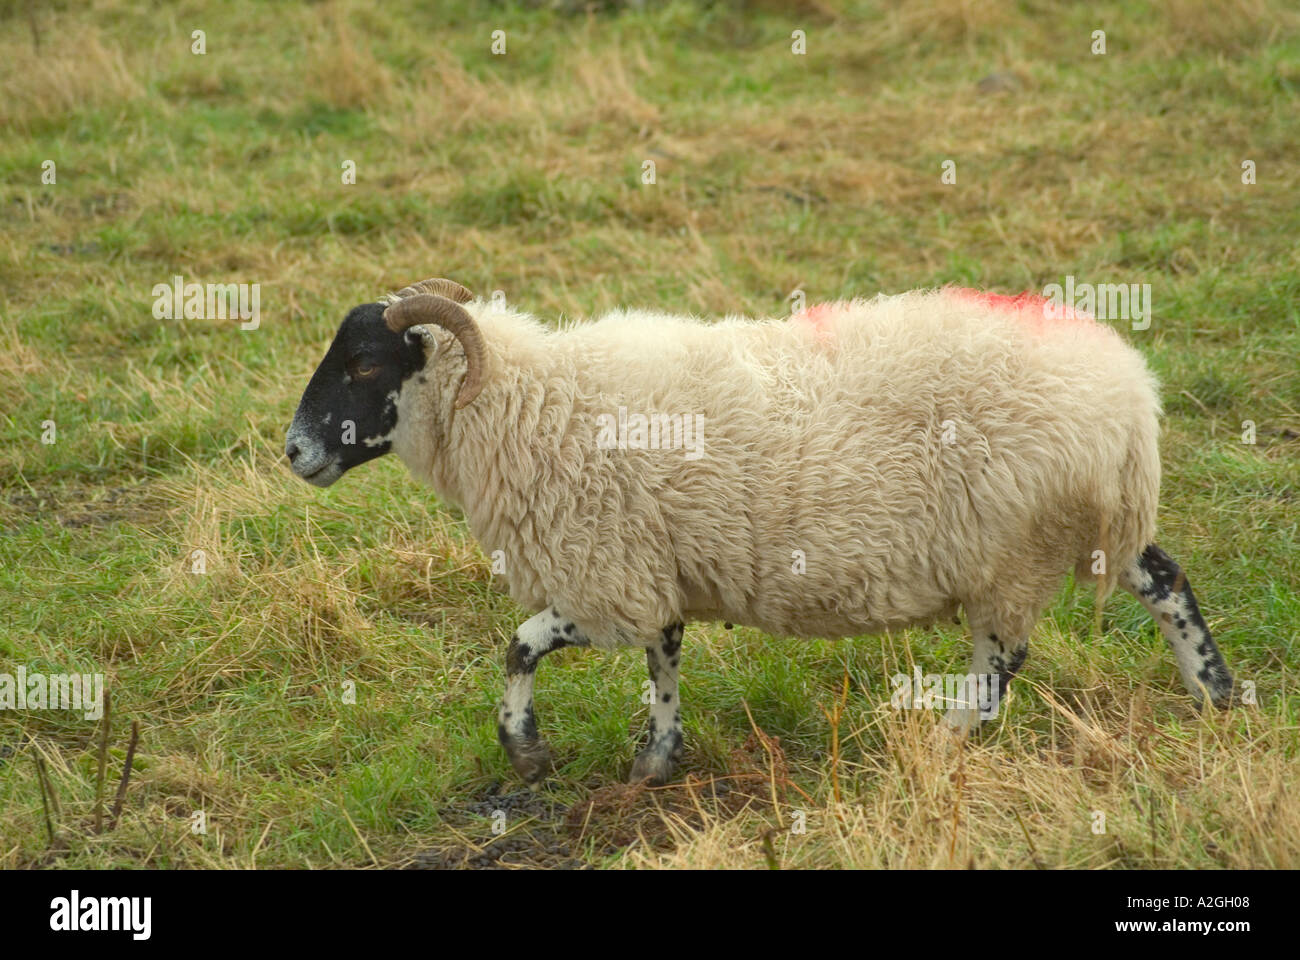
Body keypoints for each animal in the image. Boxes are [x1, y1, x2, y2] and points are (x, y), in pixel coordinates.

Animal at [287, 277, 1237, 785]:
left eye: (365, 362)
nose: (294, 450)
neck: (528, 401)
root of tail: (1131, 395)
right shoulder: (651, 572)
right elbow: (664, 661)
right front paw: (658, 759)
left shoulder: (606, 579)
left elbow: (519, 645)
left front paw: (526, 750)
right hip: (1062, 539)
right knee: (1165, 578)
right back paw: (1217, 694)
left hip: (1014, 548)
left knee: (1002, 664)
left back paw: (941, 739)